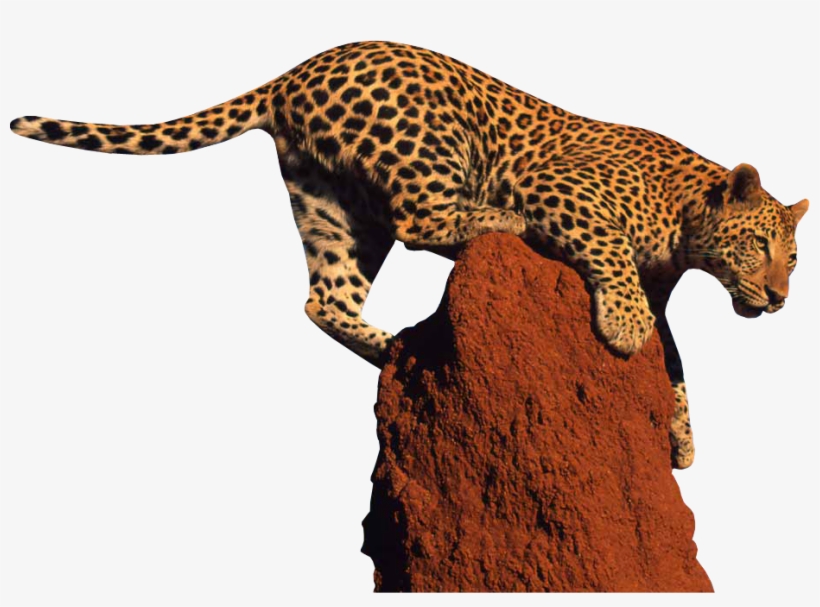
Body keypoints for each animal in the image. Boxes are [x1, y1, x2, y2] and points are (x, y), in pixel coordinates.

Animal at [10, 41, 809, 470]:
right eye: (761, 245)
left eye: (793, 260)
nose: (778, 298)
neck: (683, 219)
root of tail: (292, 72)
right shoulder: (563, 187)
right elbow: (614, 264)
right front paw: (622, 328)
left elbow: (676, 362)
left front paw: (679, 436)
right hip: (426, 142)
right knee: (424, 217)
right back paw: (497, 222)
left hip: (330, 203)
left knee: (323, 297)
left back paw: (394, 349)